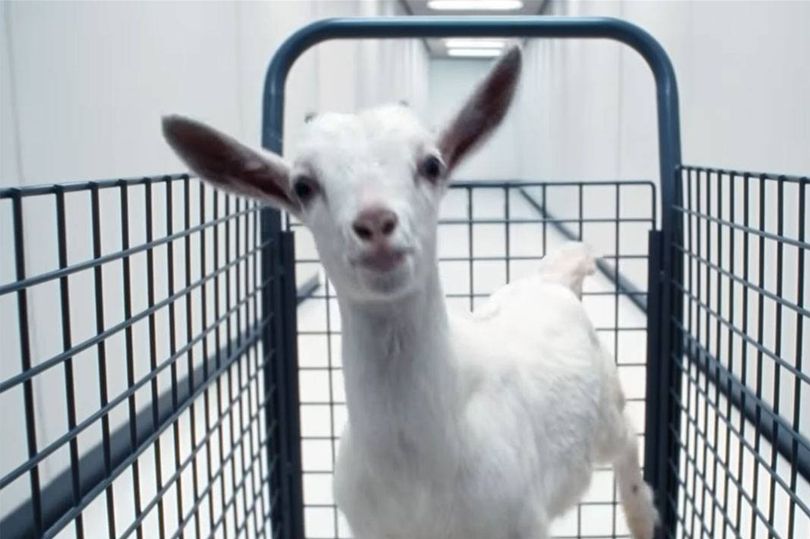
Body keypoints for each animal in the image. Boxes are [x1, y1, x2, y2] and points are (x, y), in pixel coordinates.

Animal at [162, 46, 658, 539]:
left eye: (431, 165)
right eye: (302, 186)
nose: (375, 223)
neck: (417, 472)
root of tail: (551, 279)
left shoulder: (521, 521)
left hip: (606, 404)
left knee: (629, 437)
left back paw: (641, 517)